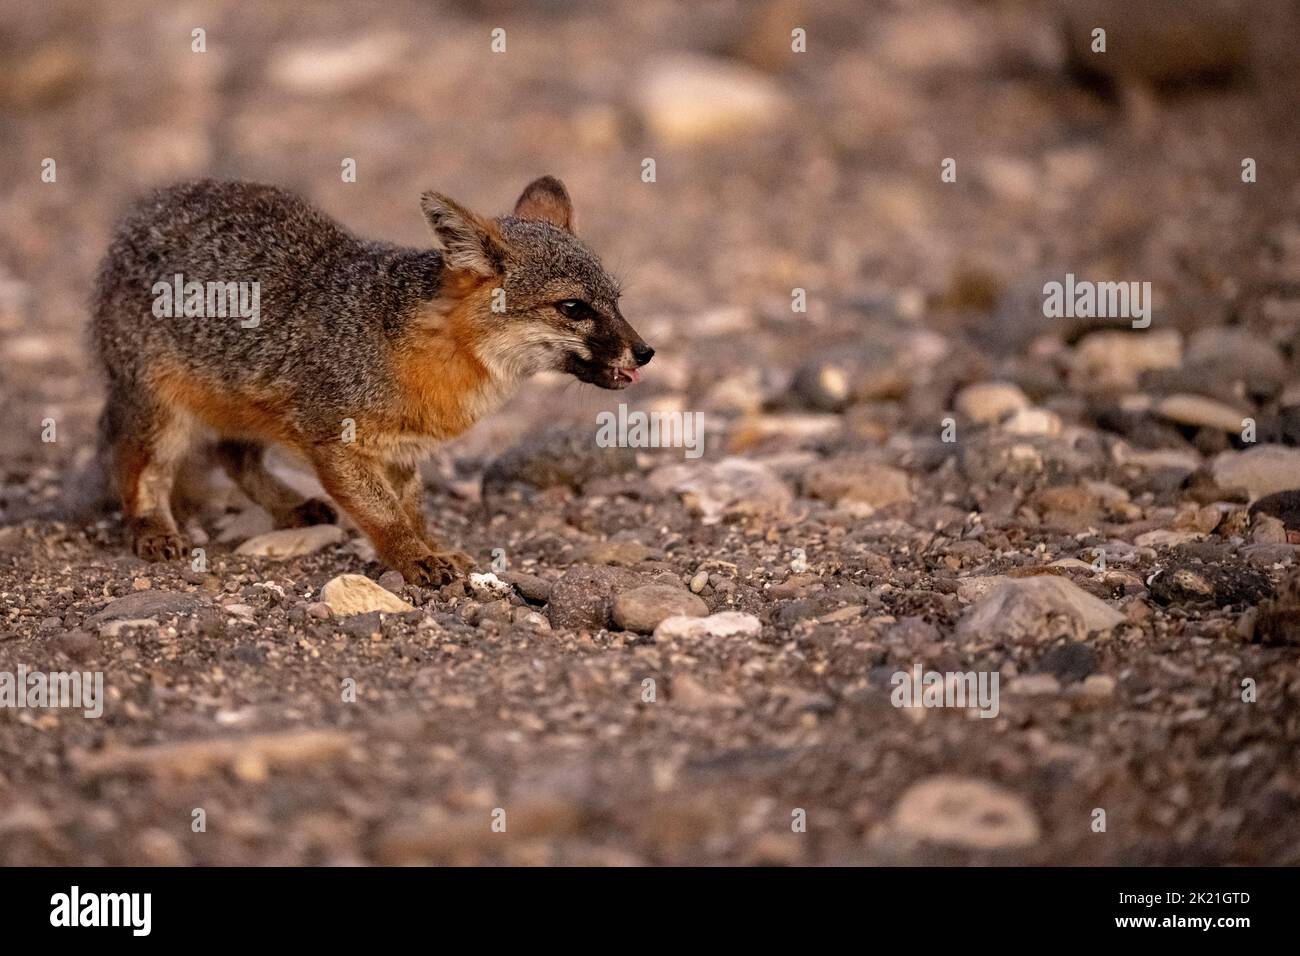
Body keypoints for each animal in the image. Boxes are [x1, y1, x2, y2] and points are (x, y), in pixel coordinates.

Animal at [88, 176, 653, 585]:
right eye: (574, 308)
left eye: (616, 301)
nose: (646, 352)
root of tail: (142, 212)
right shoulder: (335, 444)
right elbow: (386, 517)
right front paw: (414, 561)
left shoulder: (402, 451)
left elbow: (413, 512)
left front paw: (435, 548)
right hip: (164, 418)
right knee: (134, 469)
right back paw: (153, 529)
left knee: (232, 455)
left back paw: (290, 506)